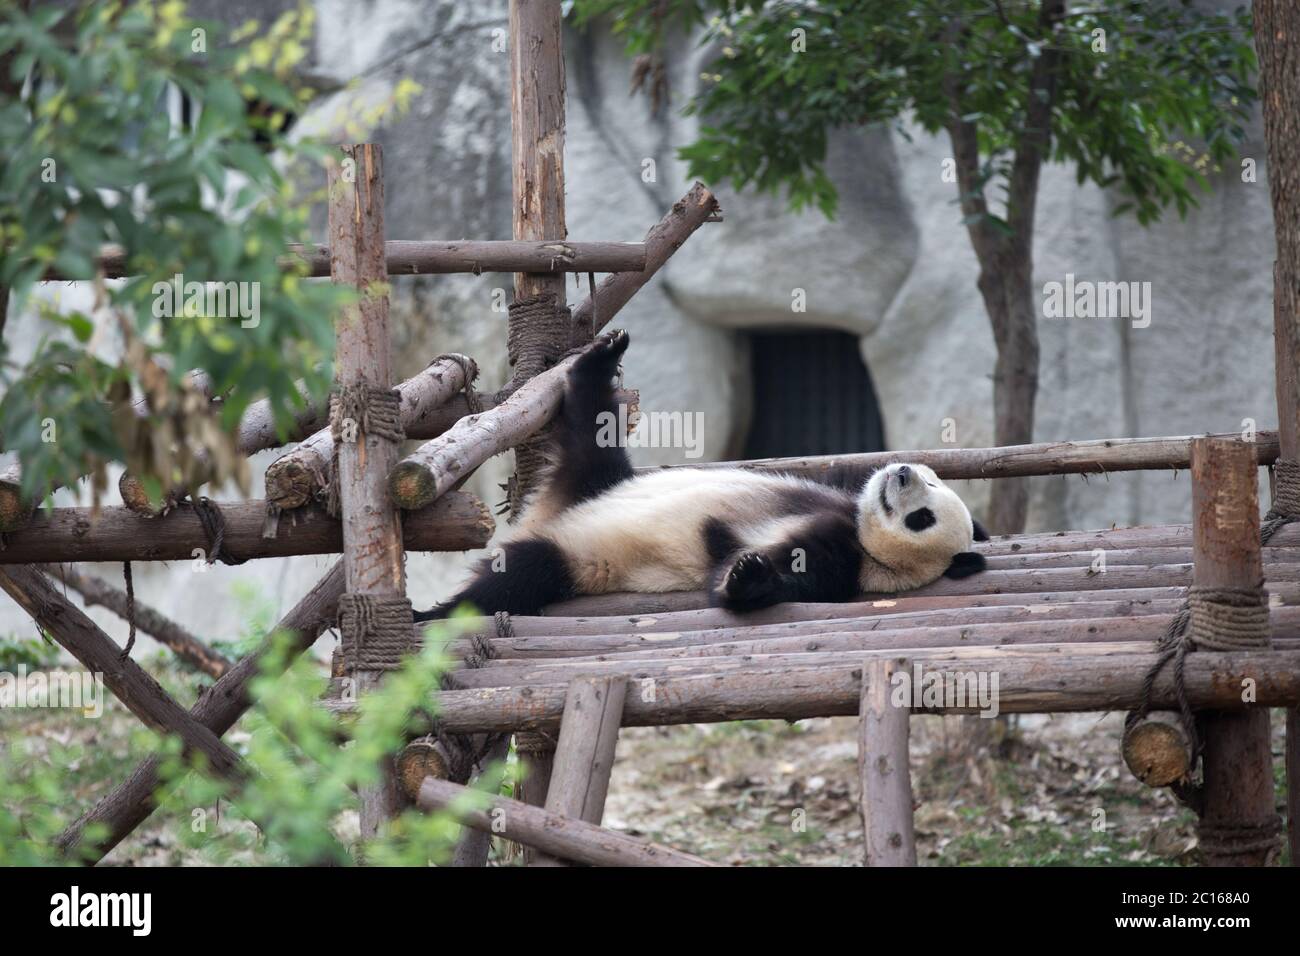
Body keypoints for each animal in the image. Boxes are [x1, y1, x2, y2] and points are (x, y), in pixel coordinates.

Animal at [415, 329, 987, 621]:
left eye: (922, 518)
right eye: (934, 481)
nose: (904, 472)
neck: (860, 528)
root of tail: (546, 517)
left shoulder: (845, 563)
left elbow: (761, 579)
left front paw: (747, 576)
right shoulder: (836, 492)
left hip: (579, 556)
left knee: (519, 578)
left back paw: (435, 615)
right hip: (596, 477)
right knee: (593, 429)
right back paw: (602, 357)